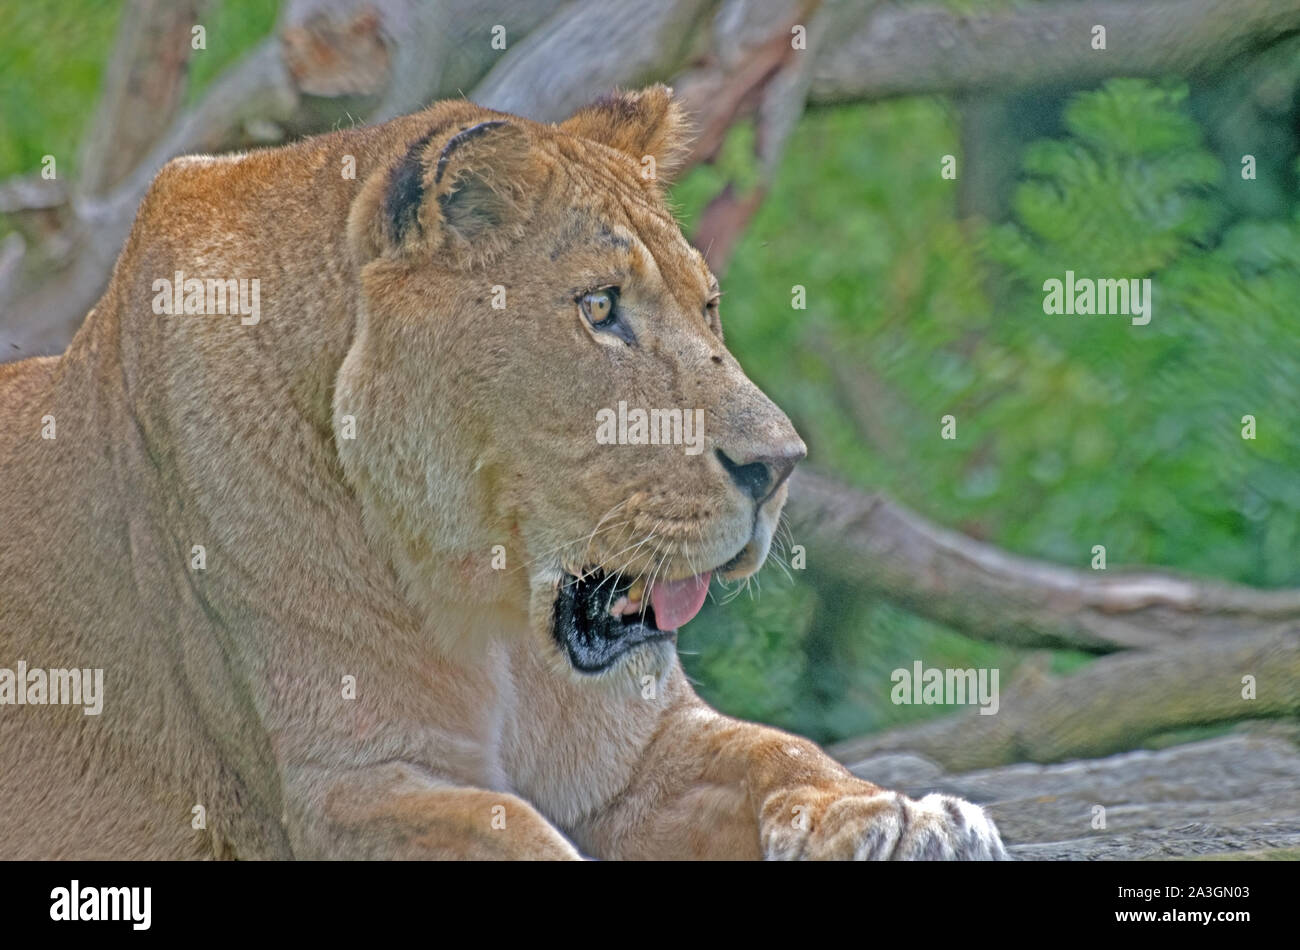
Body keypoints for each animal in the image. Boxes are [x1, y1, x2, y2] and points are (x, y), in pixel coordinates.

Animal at [0, 86, 1007, 860]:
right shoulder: (350, 790)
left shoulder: (637, 747)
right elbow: (515, 832)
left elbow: (783, 752)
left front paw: (902, 816)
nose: (782, 466)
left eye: (708, 306)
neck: (497, 609)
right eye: (599, 308)